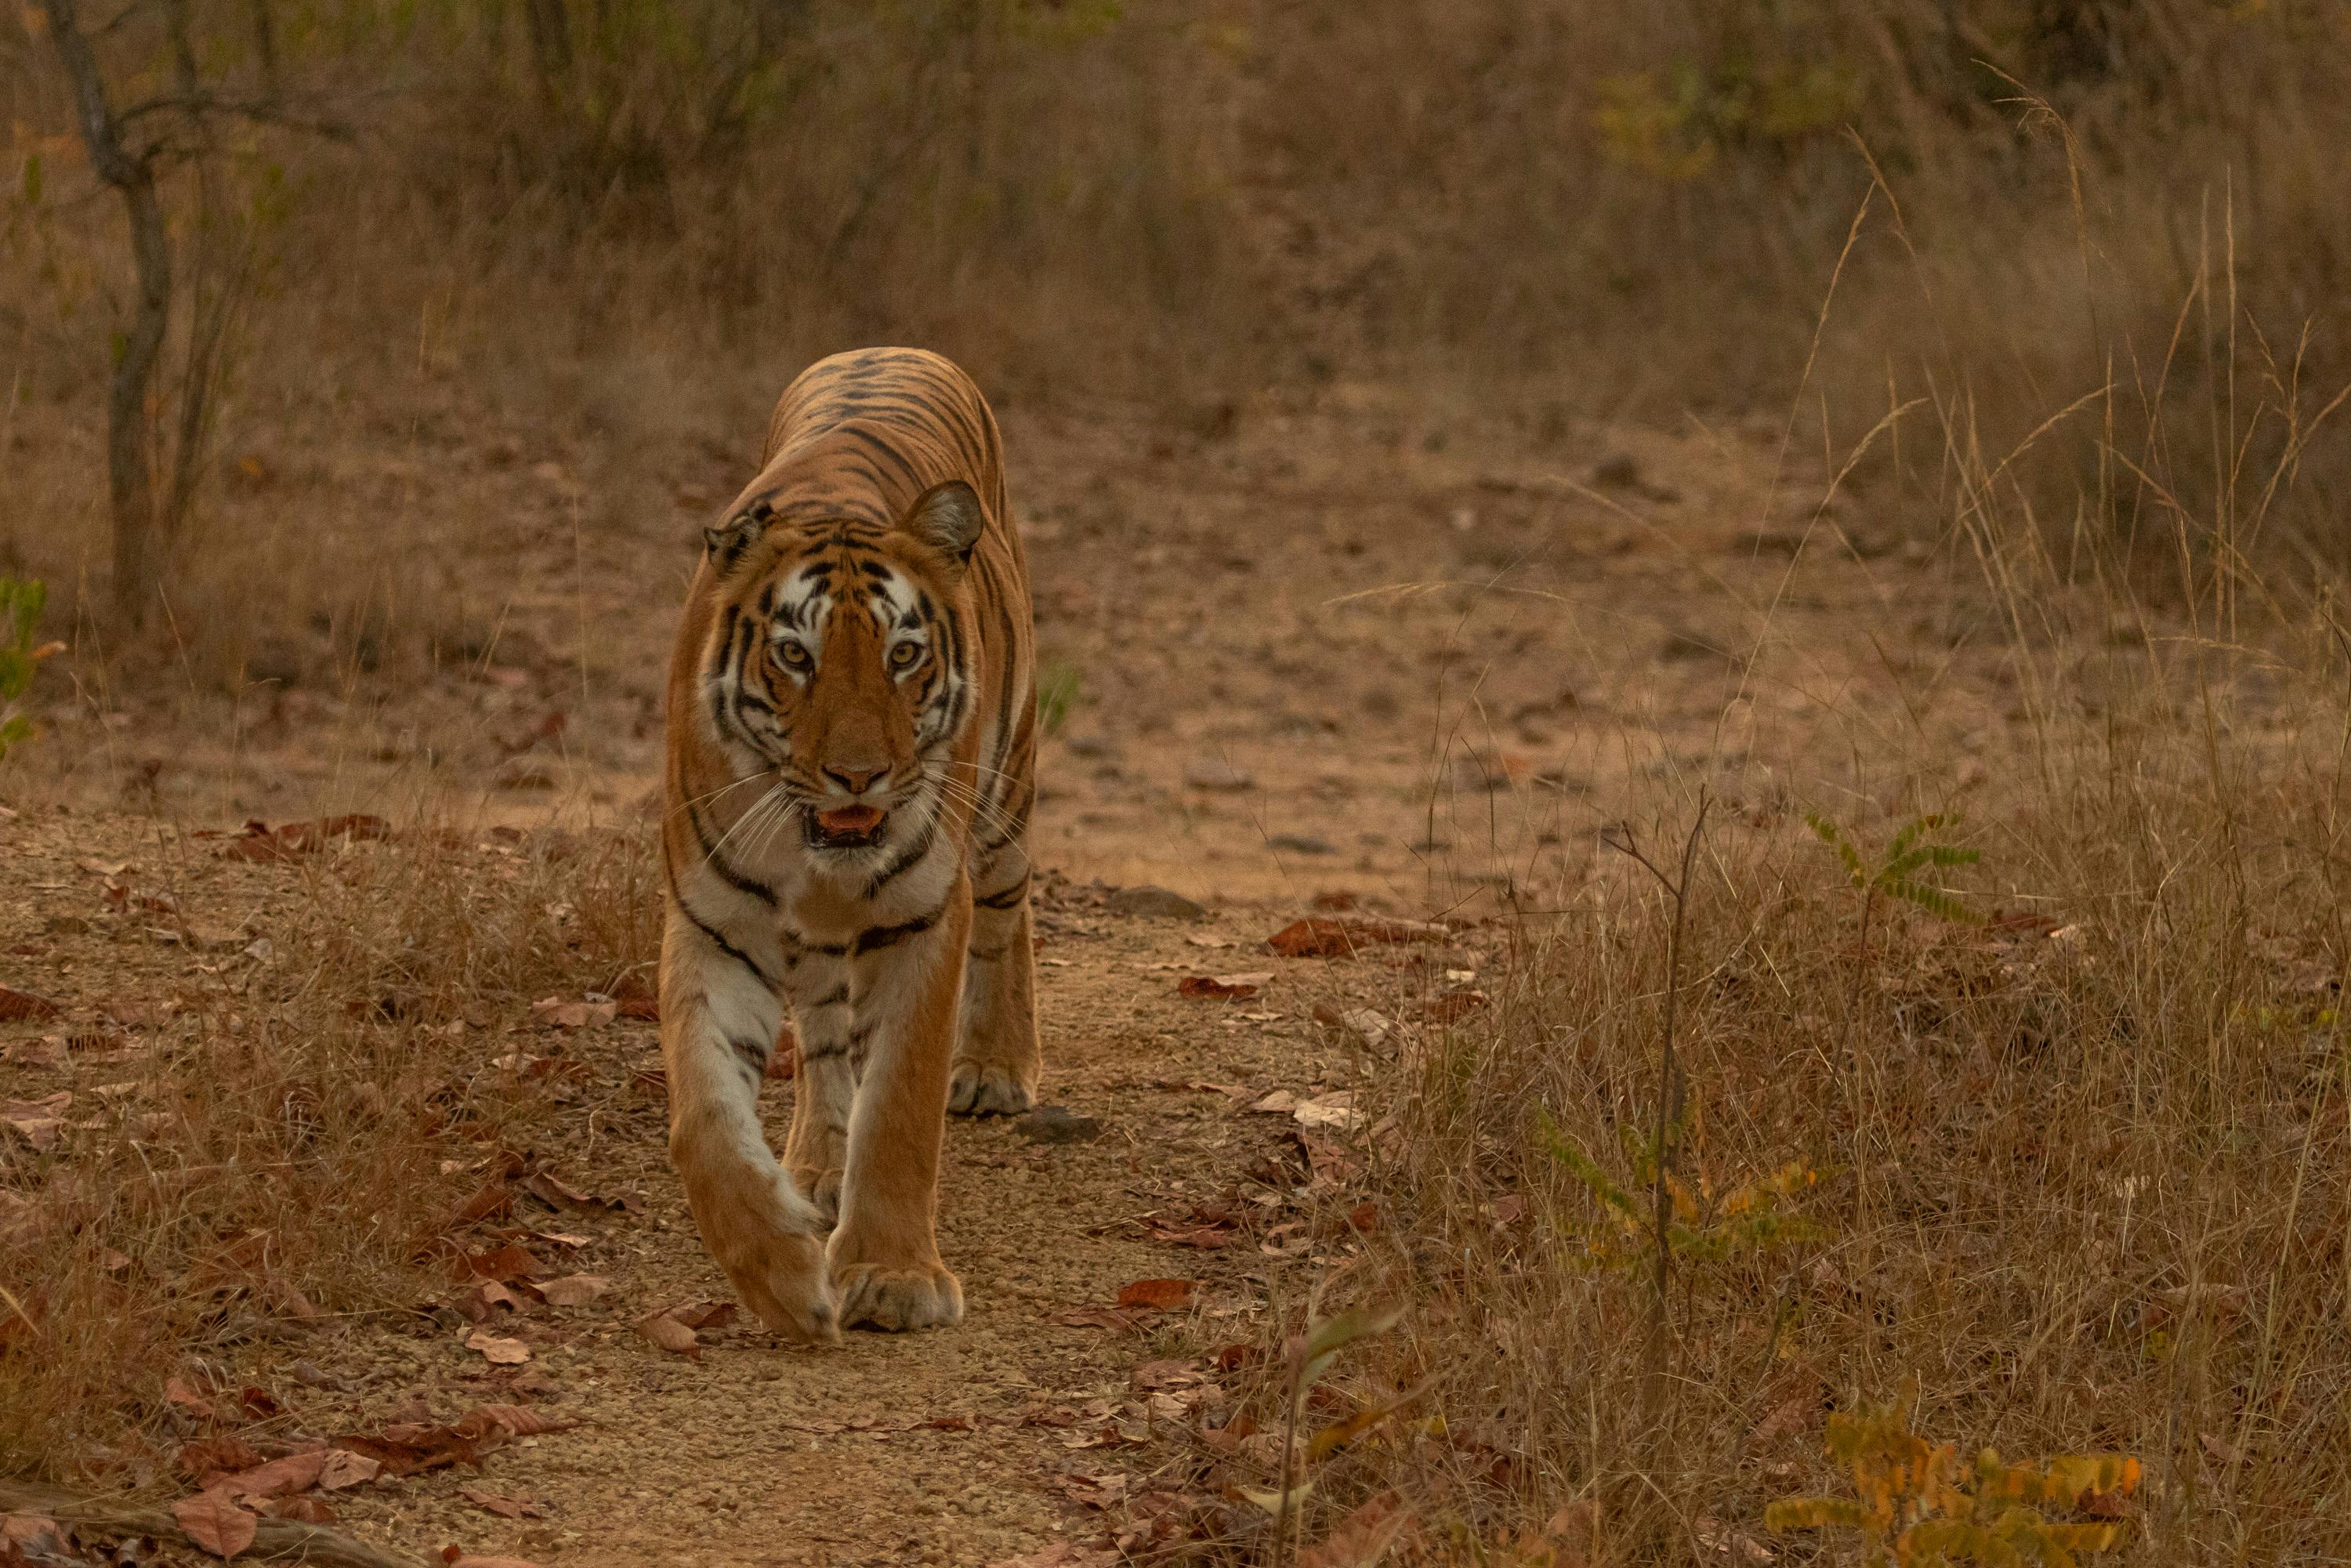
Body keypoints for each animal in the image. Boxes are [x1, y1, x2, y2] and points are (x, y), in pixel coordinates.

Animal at [658, 347, 1040, 1341]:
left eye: (904, 655)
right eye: (796, 656)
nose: (859, 778)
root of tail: (896, 346)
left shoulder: (921, 914)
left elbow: (900, 1104)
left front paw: (895, 1279)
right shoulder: (717, 923)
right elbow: (705, 1119)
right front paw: (781, 1277)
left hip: (1006, 800)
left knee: (1007, 916)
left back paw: (995, 1066)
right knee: (829, 1040)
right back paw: (819, 1169)